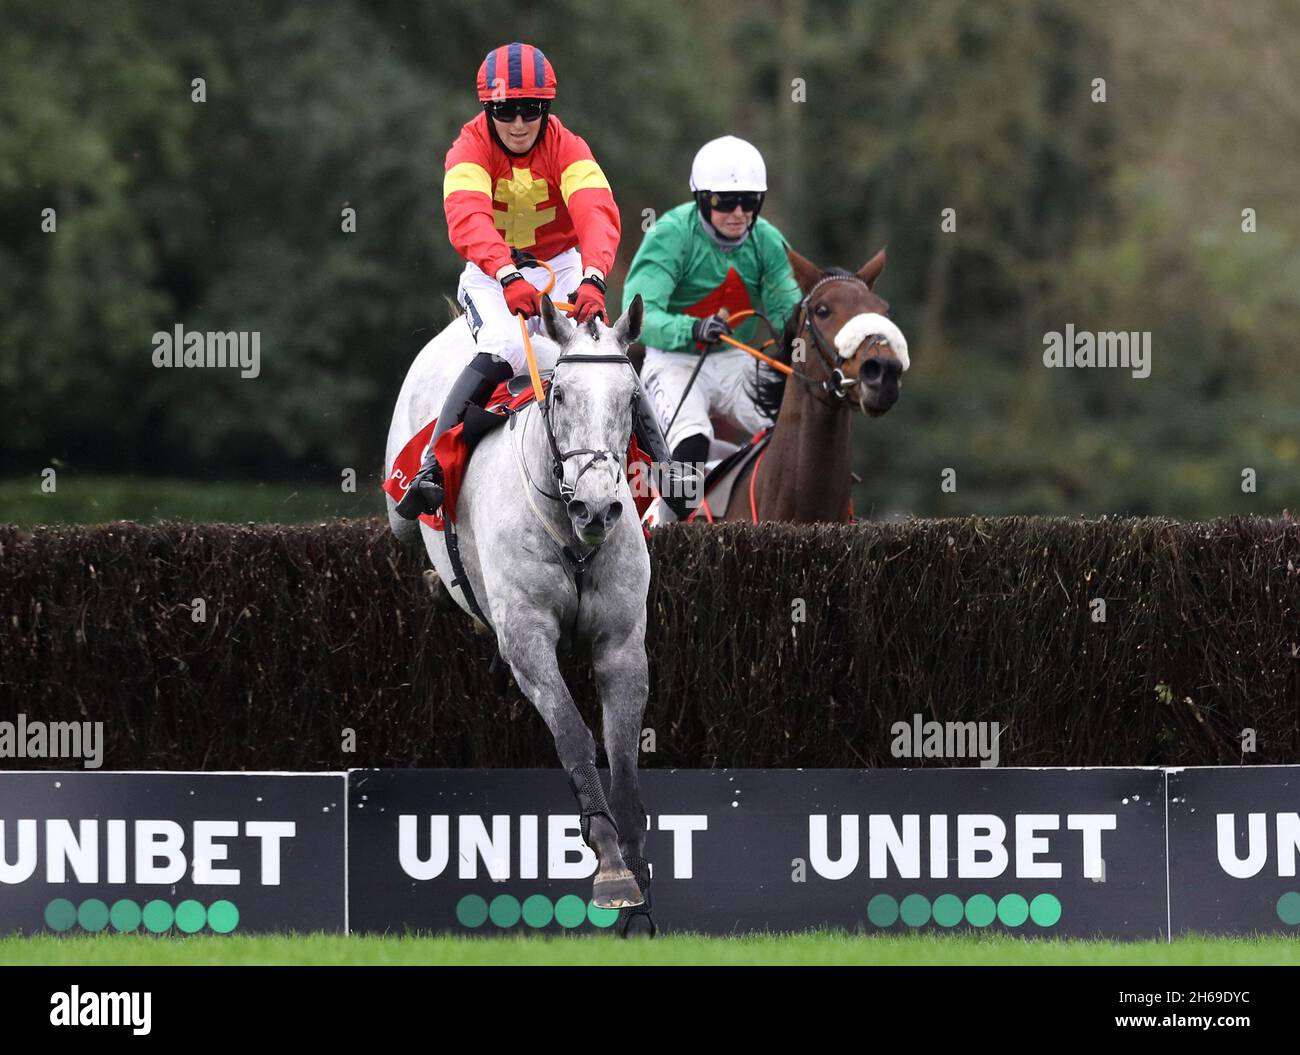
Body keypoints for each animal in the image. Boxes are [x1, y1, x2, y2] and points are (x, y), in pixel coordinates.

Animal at [385, 294, 656, 931]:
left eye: (631, 397)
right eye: (559, 395)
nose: (598, 507)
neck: (572, 535)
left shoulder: (622, 644)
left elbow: (624, 759)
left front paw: (638, 893)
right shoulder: (528, 640)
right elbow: (576, 737)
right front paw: (611, 869)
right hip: (399, 506)